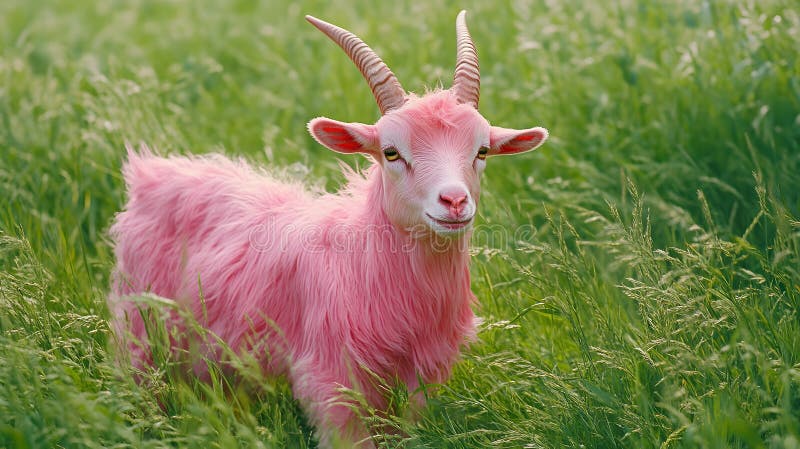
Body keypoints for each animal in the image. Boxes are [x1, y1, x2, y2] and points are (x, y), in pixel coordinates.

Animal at [109, 11, 548, 448]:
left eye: (482, 150)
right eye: (391, 152)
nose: (454, 202)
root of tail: (151, 171)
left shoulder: (422, 374)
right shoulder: (329, 375)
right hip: (138, 330)